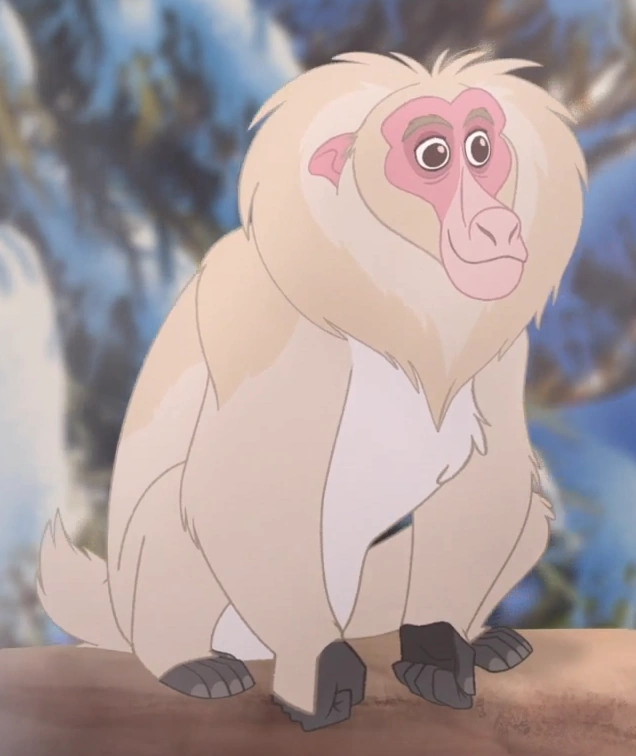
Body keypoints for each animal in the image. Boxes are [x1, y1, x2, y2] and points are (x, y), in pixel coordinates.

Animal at [37, 49, 586, 731]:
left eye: (481, 148)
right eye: (433, 155)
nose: (496, 225)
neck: (393, 299)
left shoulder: (498, 346)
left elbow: (490, 484)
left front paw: (438, 644)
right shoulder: (271, 319)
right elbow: (241, 487)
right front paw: (321, 670)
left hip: (373, 591)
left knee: (527, 517)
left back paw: (482, 638)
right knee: (177, 502)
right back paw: (188, 662)